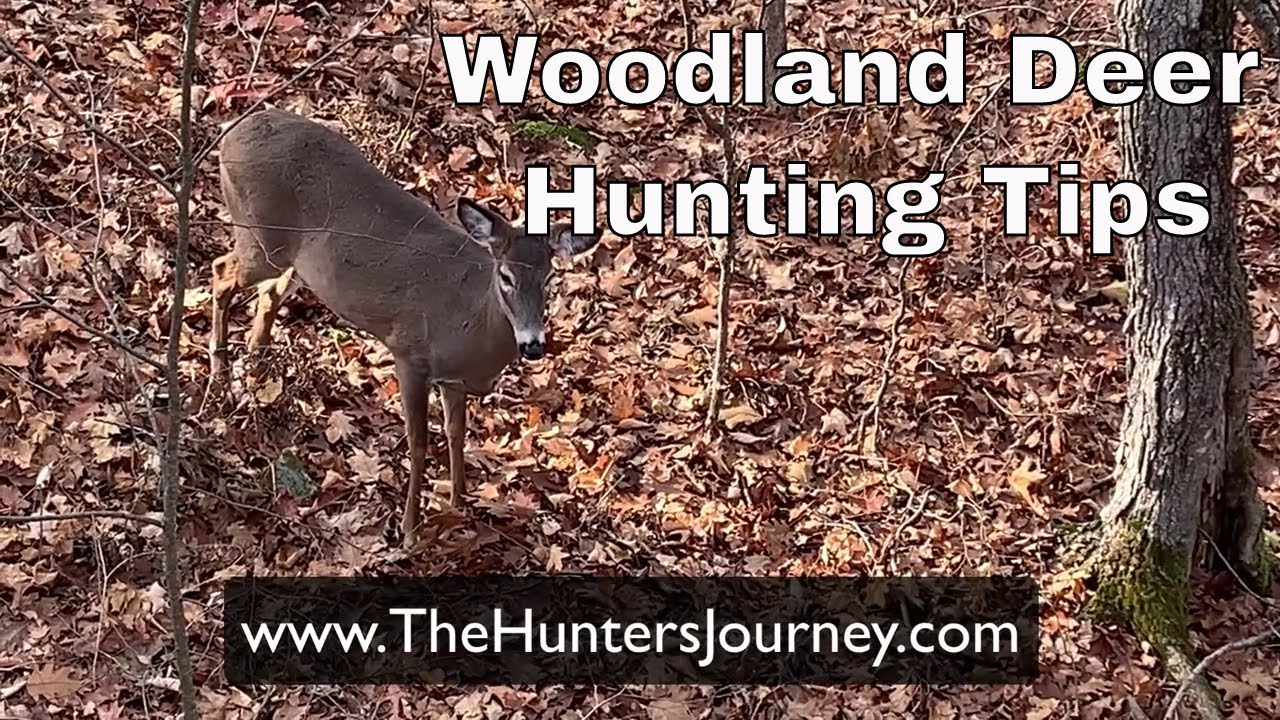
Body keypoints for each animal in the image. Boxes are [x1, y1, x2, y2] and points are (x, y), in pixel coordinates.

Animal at [208, 108, 601, 548]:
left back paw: (256, 372)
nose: (533, 345)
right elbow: (418, 443)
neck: (469, 323)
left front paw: (460, 504)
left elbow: (456, 433)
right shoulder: (410, 353)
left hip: (292, 260)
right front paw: (411, 529)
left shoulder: (453, 380)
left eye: (550, 277)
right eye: (506, 276)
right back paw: (220, 375)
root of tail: (232, 132)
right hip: (260, 236)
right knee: (220, 270)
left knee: (268, 294)